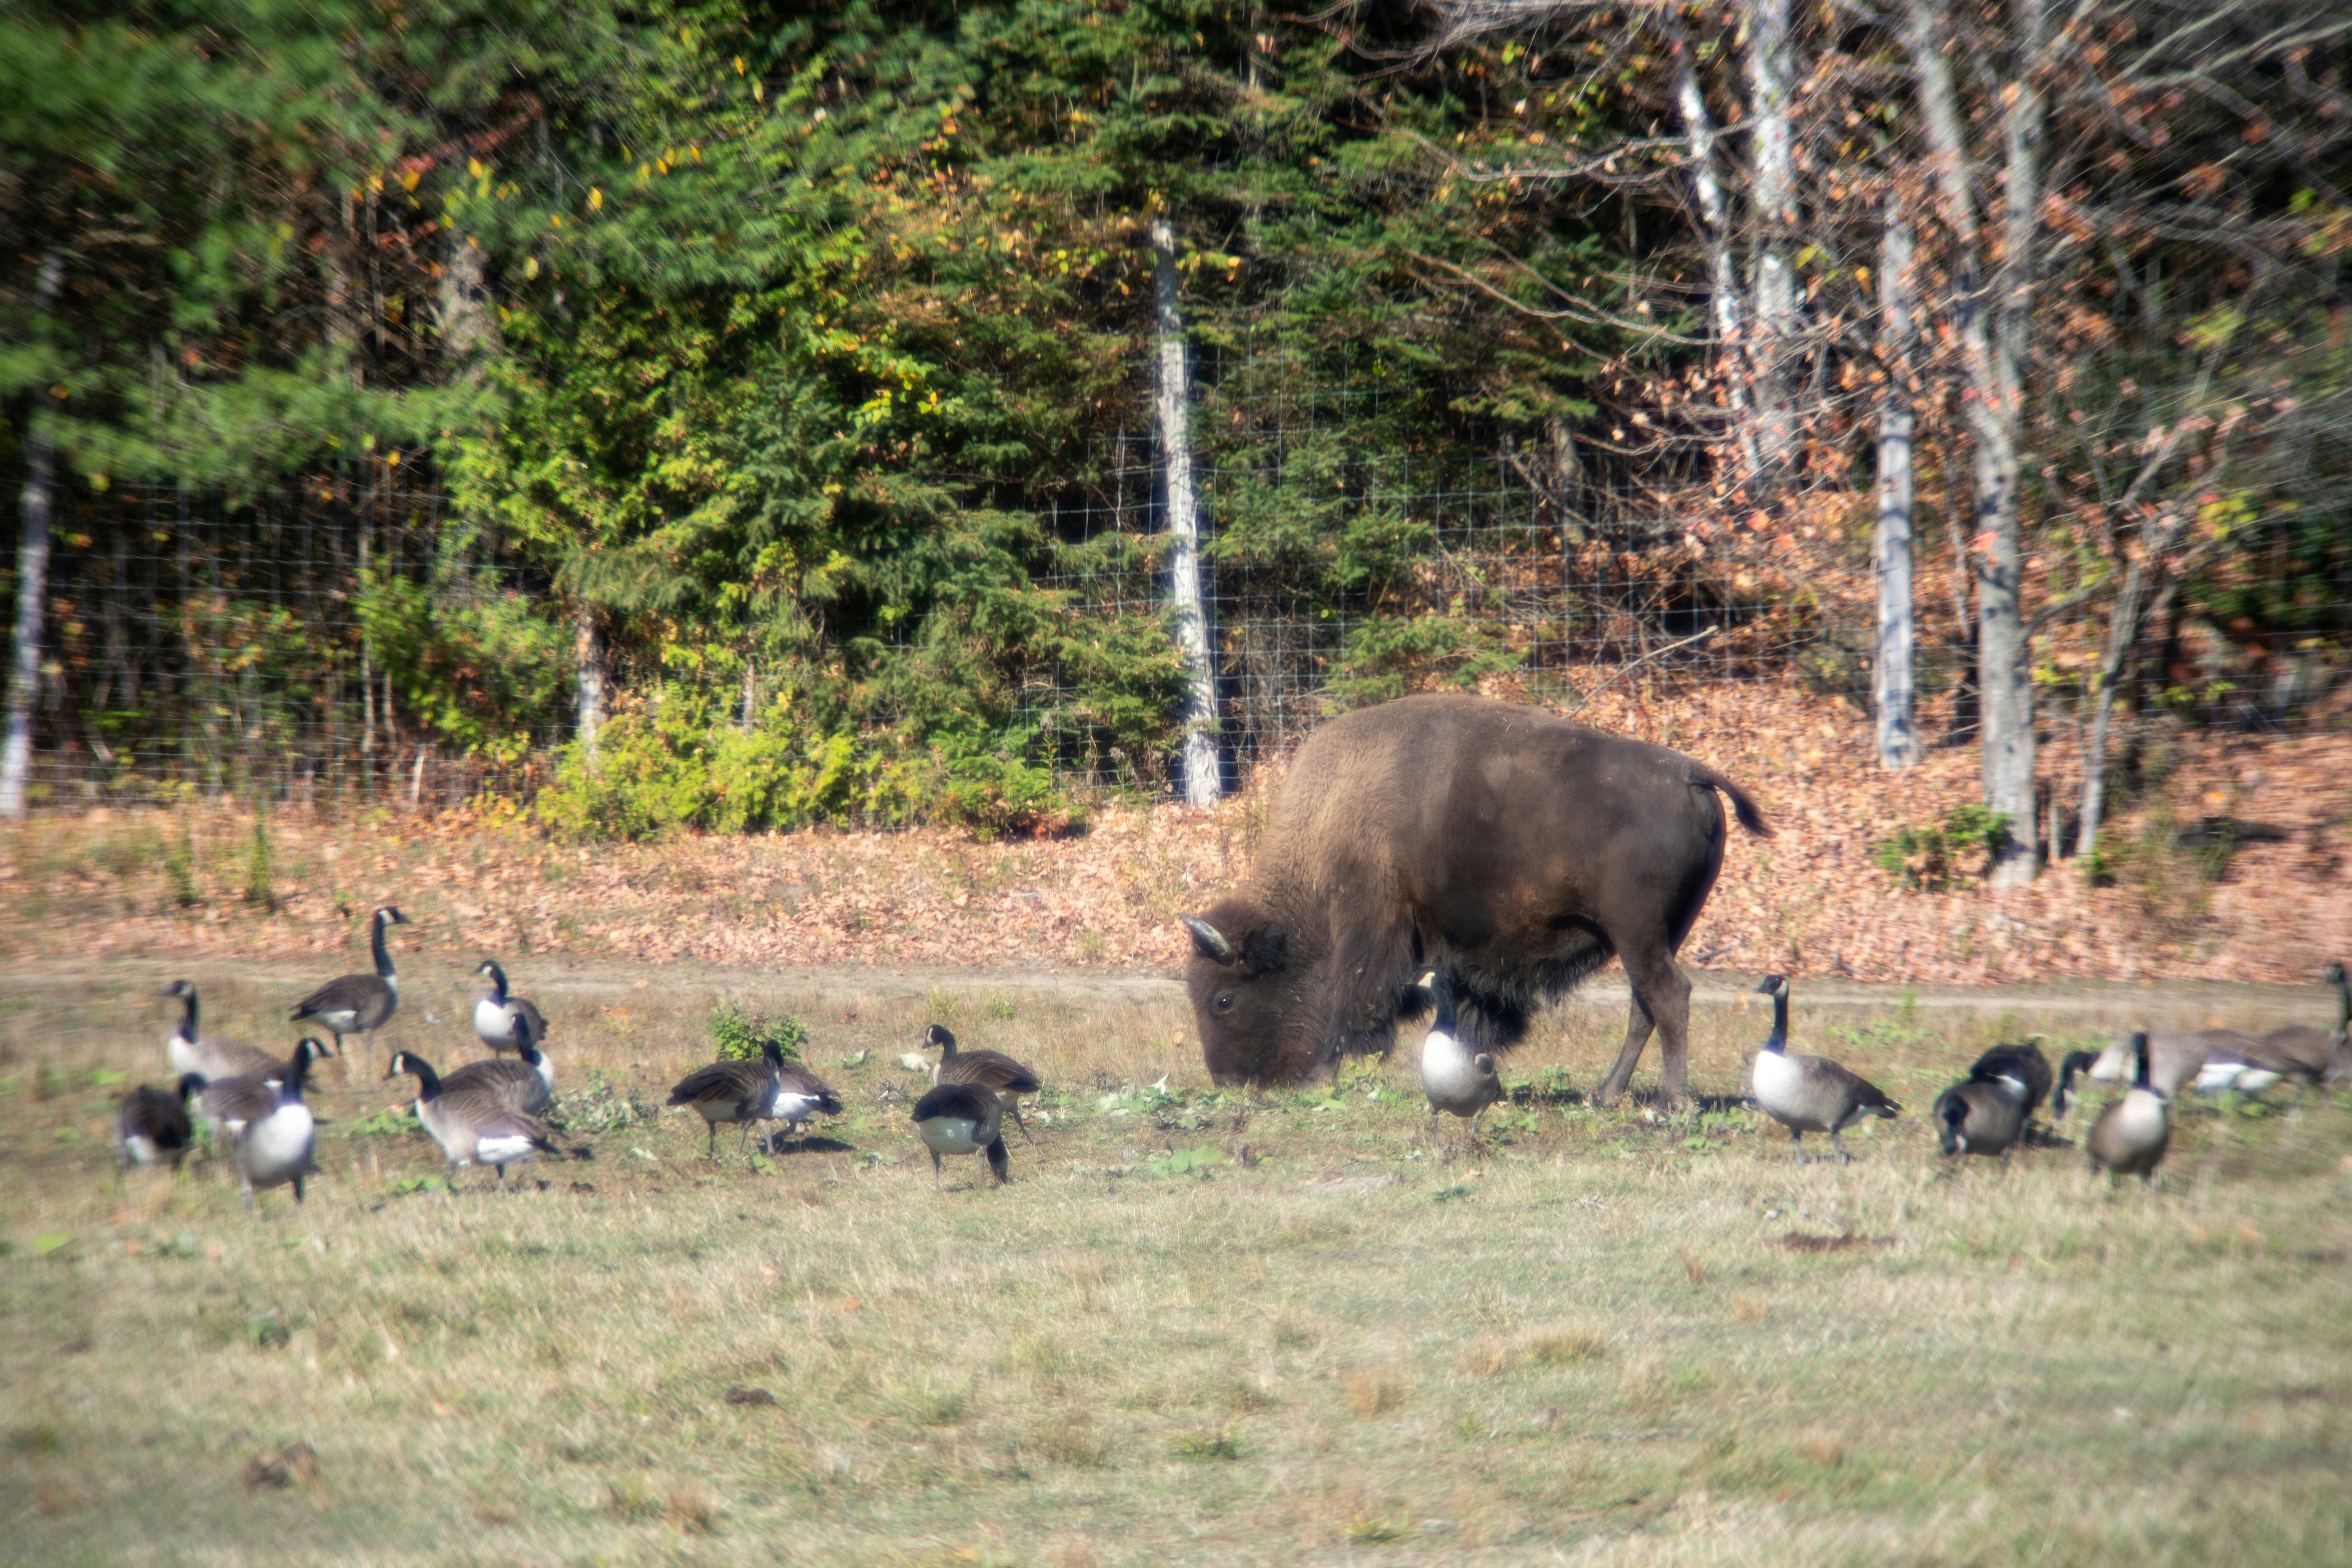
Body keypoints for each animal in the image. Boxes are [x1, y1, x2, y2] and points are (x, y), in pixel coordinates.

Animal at [1180, 694, 1768, 1107]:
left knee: (1668, 996)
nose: (1230, 1081)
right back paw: (1606, 1095)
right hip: (1664, 932)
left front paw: (1322, 1078)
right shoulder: (1466, 950)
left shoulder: (1369, 927)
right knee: (1644, 1007)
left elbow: (1354, 1001)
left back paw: (1672, 1104)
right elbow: (1466, 1013)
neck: (1329, 824)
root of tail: (1691, 773)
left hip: (1637, 931)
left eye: (1224, 1000)